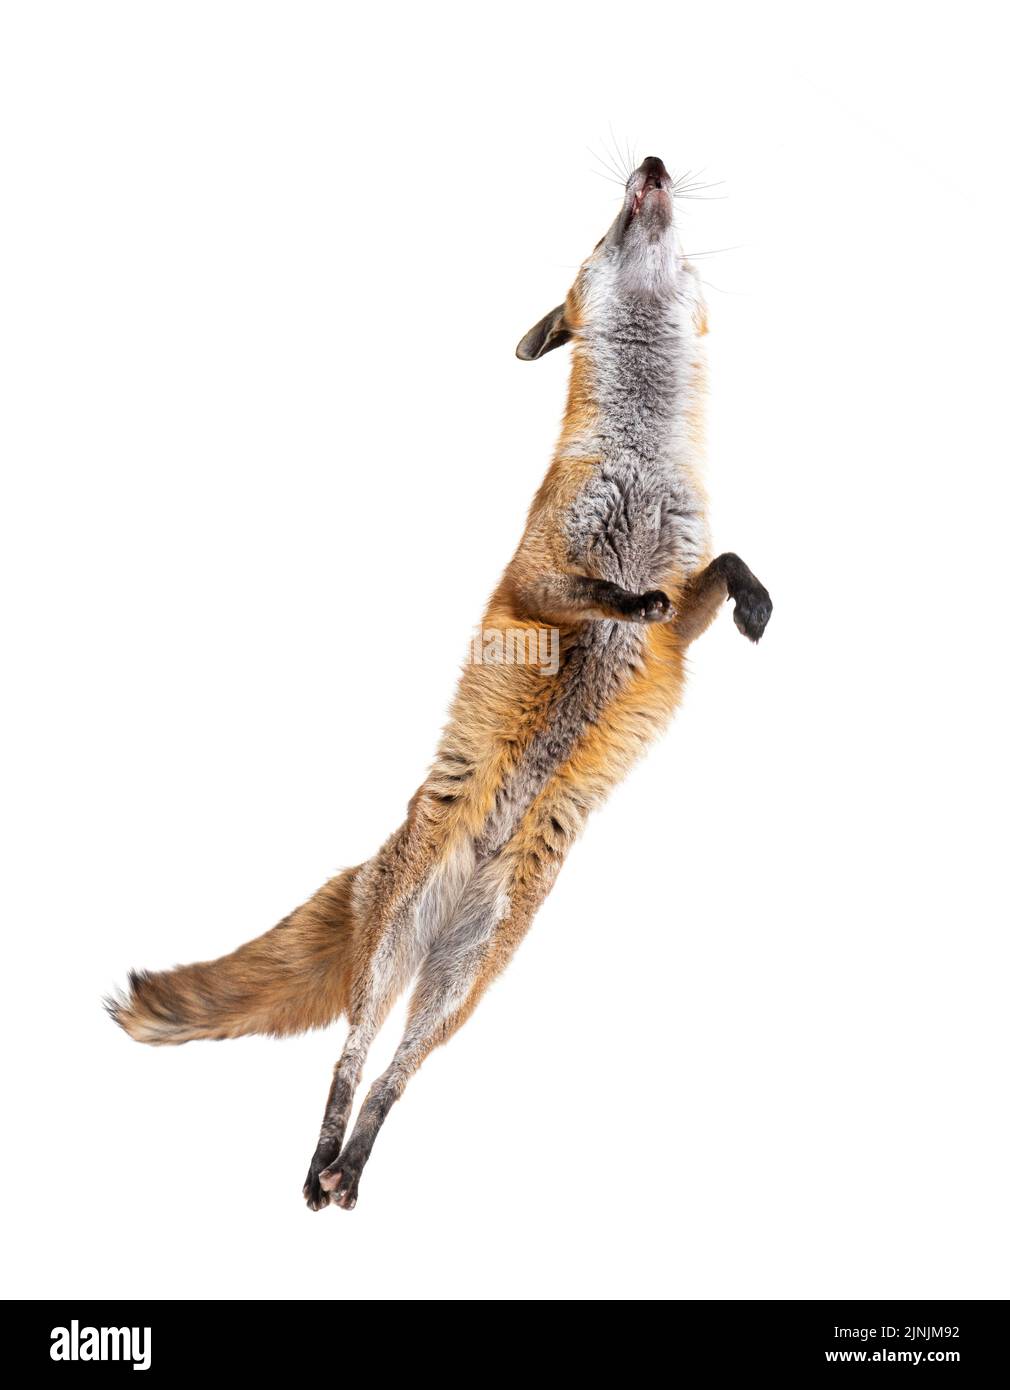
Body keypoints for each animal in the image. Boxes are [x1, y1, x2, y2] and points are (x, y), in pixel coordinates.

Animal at [108, 155, 772, 1210]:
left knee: (397, 1073)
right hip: (394, 958)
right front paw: (622, 599)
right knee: (350, 1054)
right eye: (602, 234)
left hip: (463, 983)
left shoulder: (681, 615)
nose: (652, 165)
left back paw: (353, 1166)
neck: (639, 464)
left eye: (663, 234)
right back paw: (320, 1163)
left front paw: (756, 605)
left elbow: (724, 574)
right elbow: (590, 594)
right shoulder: (539, 573)